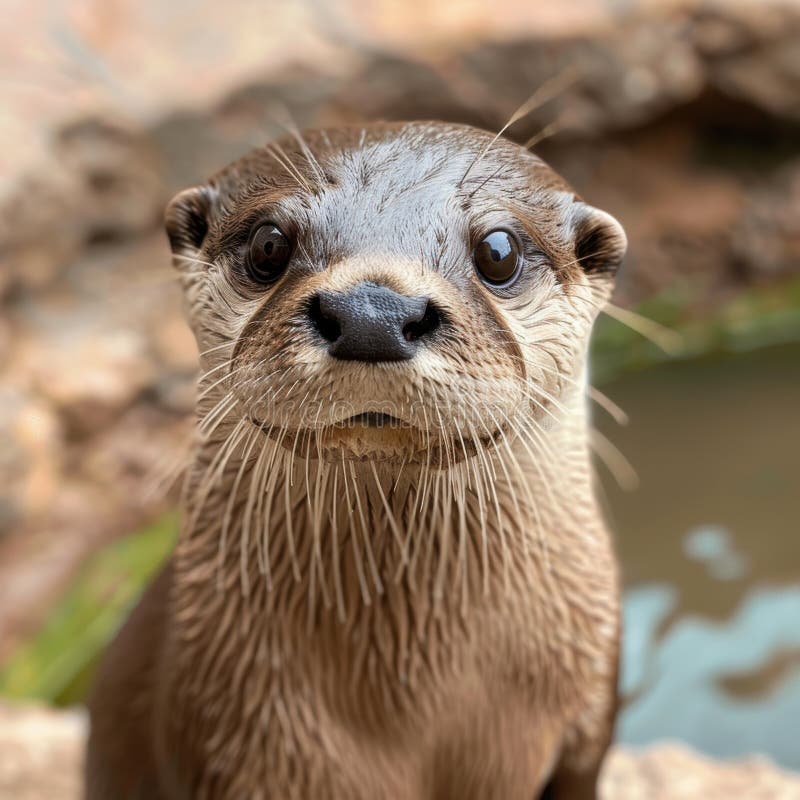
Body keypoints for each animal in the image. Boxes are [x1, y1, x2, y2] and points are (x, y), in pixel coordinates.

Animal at [85, 121, 626, 800]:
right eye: (268, 243)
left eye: (498, 250)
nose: (374, 314)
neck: (416, 701)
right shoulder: (219, 735)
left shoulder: (594, 696)